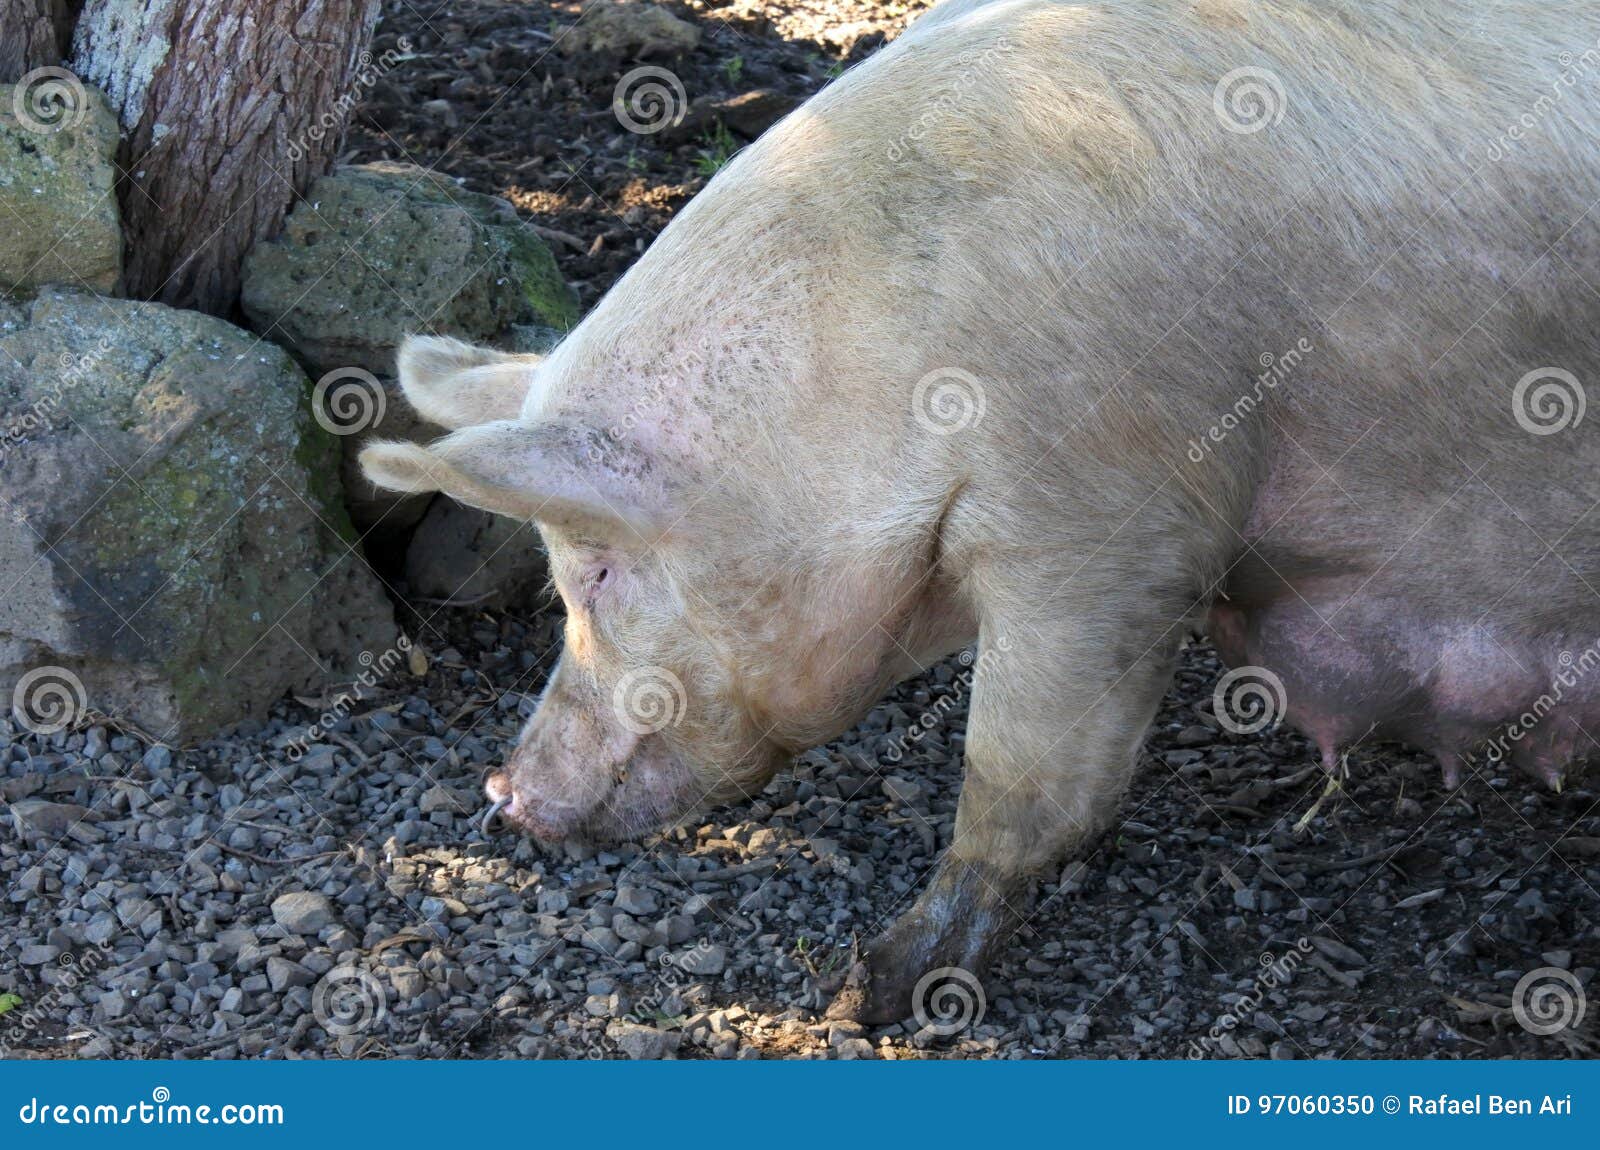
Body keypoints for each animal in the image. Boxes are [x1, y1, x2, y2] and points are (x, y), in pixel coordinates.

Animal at [361, 0, 1600, 1023]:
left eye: (597, 571)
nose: (504, 790)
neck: (876, 367)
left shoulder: (1114, 517)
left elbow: (1021, 777)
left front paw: (871, 993)